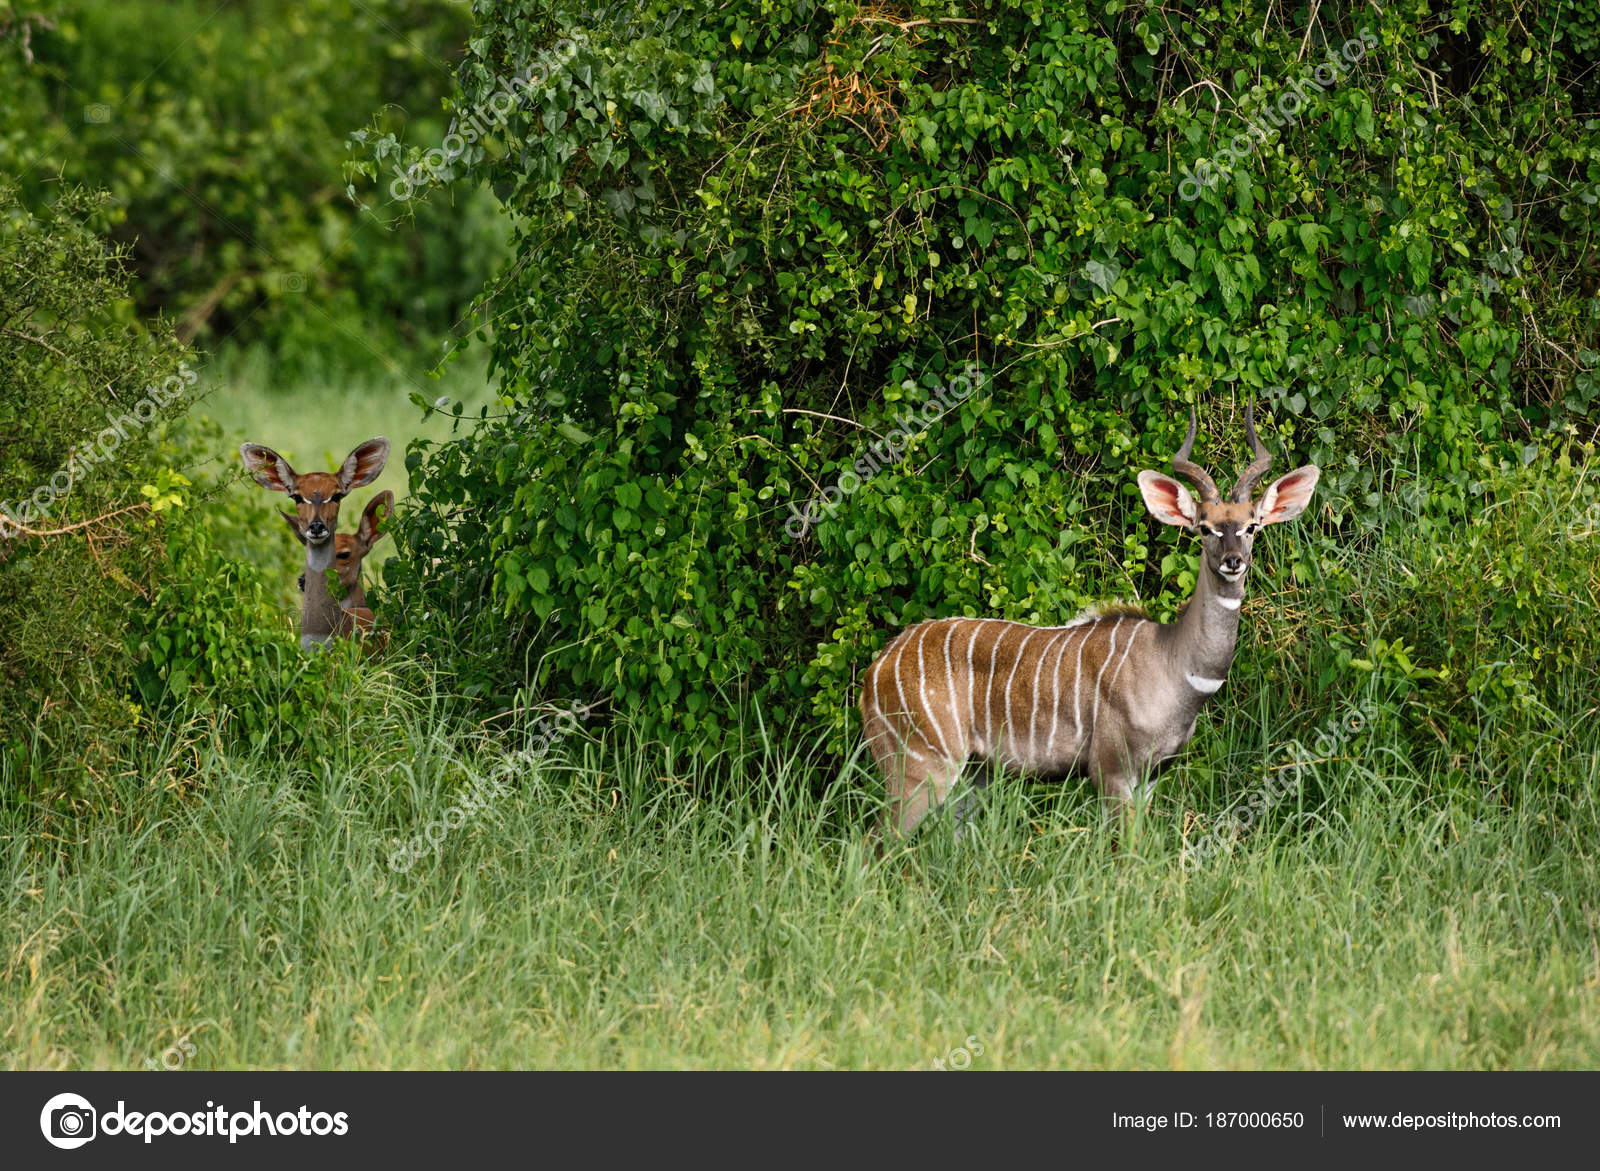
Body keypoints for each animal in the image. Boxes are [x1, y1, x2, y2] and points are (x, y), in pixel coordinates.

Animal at [859, 403, 1320, 838]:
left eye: (1252, 526)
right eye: (1204, 528)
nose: (1233, 561)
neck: (1174, 666)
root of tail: (874, 672)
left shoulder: (1151, 775)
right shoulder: (1112, 769)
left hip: (973, 774)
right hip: (921, 768)